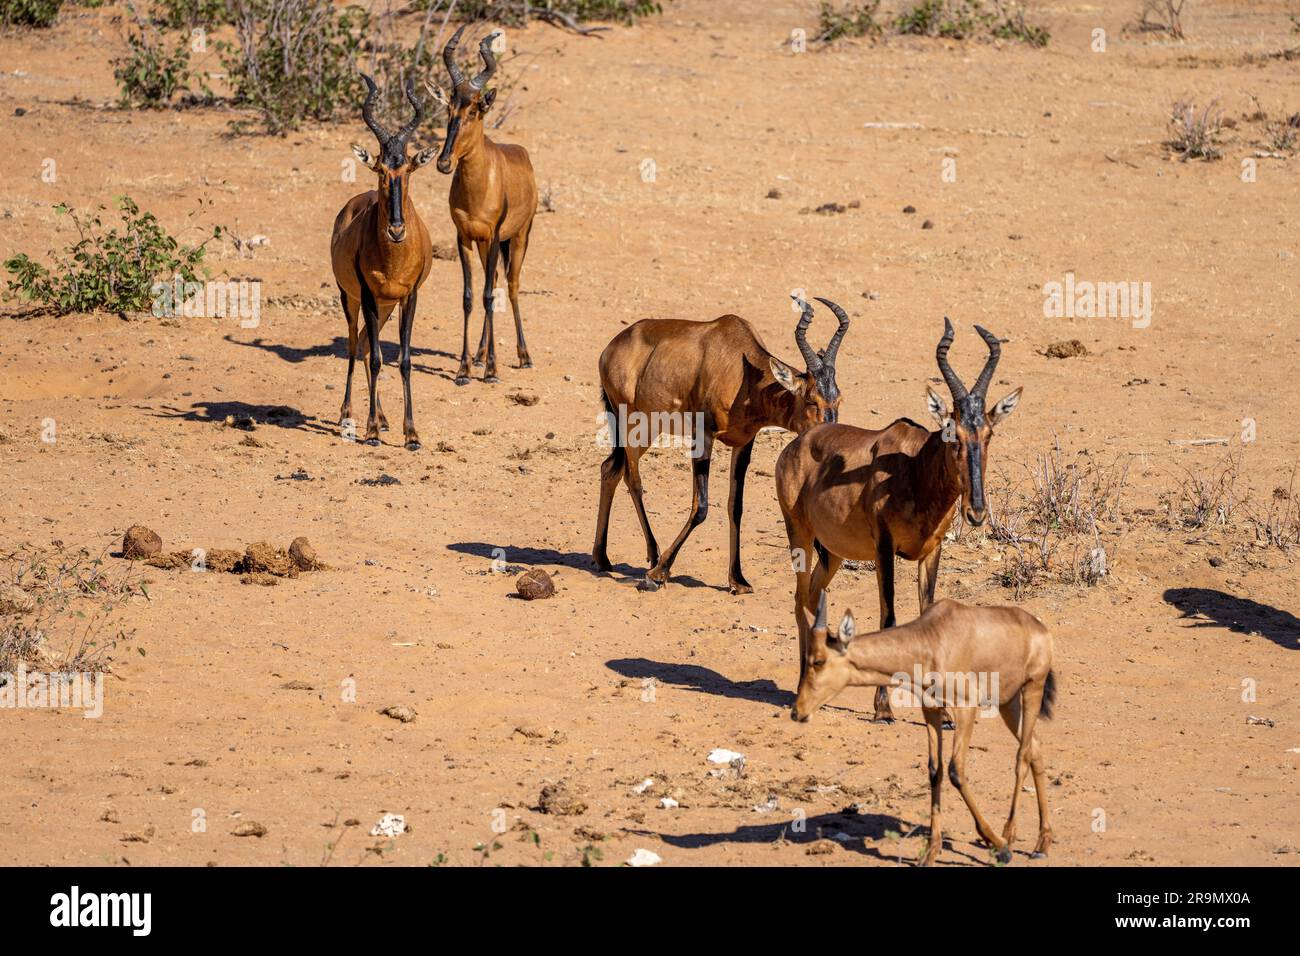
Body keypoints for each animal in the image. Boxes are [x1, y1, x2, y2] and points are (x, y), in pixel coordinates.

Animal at [330, 76, 436, 449]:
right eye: (379, 168)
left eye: (407, 167)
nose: (396, 229)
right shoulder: (368, 295)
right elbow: (377, 359)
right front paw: (372, 432)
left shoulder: (409, 297)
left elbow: (403, 361)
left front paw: (412, 434)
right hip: (351, 298)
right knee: (353, 344)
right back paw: (348, 415)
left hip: (388, 305)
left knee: (363, 343)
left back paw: (385, 418)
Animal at [426, 26, 538, 385]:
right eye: (449, 108)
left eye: (474, 110)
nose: (444, 163)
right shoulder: (464, 238)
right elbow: (469, 297)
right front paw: (464, 369)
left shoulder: (493, 235)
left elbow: (489, 296)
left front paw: (491, 371)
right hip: (489, 244)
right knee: (497, 283)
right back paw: (478, 354)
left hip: (518, 236)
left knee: (511, 286)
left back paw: (523, 356)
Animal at [593, 296, 850, 593]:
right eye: (811, 400)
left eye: (838, 399)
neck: (741, 370)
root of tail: (611, 348)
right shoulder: (703, 435)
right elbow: (701, 507)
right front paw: (658, 575)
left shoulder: (744, 443)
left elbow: (735, 506)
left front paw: (738, 580)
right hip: (628, 421)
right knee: (632, 479)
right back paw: (652, 557)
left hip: (648, 428)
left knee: (610, 469)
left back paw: (602, 558)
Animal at [776, 321, 1022, 718]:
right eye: (952, 432)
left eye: (987, 433)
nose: (977, 511)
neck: (914, 466)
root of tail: (797, 444)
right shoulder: (884, 549)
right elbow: (888, 617)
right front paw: (883, 708)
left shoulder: (932, 551)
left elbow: (928, 616)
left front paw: (943, 713)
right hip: (799, 533)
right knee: (799, 602)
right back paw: (800, 688)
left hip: (834, 552)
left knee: (813, 597)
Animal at [792, 595, 1056, 866]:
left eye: (819, 660)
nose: (797, 712)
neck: (933, 638)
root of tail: (1039, 628)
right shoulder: (930, 709)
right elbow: (934, 770)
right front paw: (931, 852)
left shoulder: (966, 708)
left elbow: (955, 770)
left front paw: (1000, 848)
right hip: (1008, 702)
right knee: (1035, 748)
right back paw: (1042, 842)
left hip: (1032, 688)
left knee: (1022, 756)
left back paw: (1010, 836)